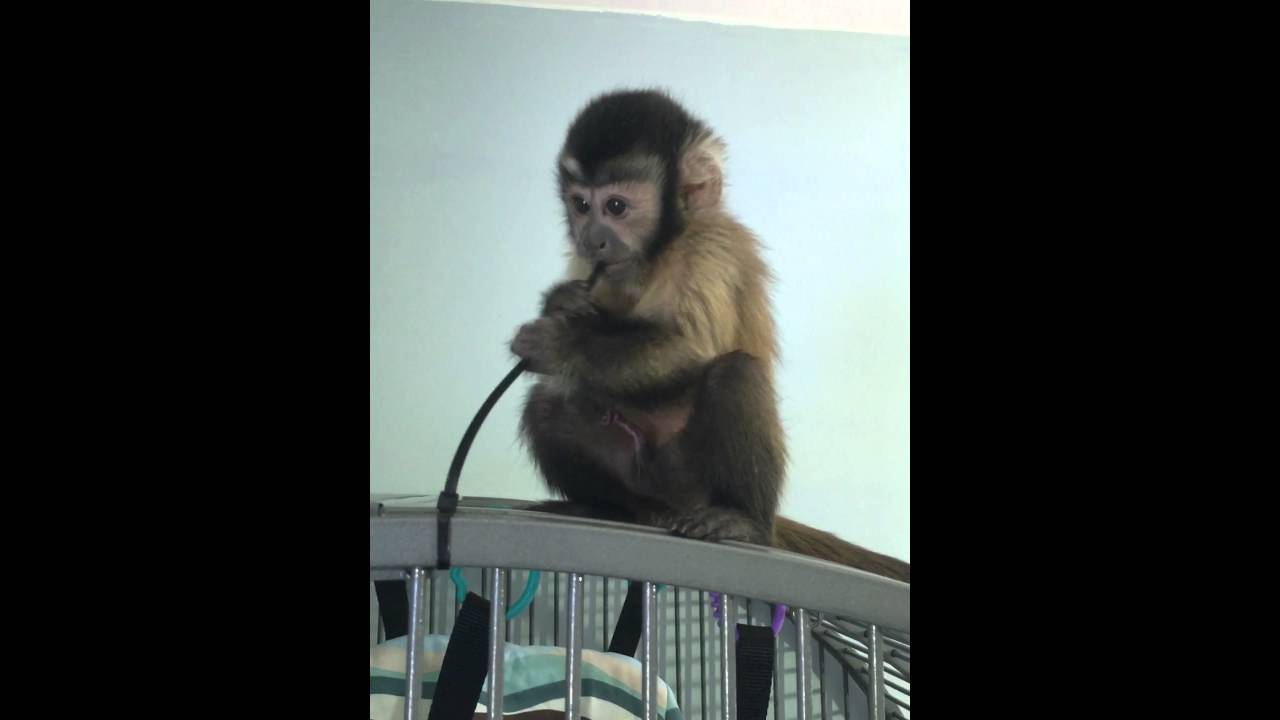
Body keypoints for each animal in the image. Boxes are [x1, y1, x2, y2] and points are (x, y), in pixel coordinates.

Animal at [509, 89, 909, 584]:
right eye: (581, 205)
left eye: (616, 207)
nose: (591, 239)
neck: (656, 256)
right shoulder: (591, 266)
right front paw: (561, 302)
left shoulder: (709, 249)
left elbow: (689, 349)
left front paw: (557, 344)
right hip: (641, 472)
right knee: (547, 405)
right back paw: (620, 508)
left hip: (693, 475)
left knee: (733, 373)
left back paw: (744, 520)